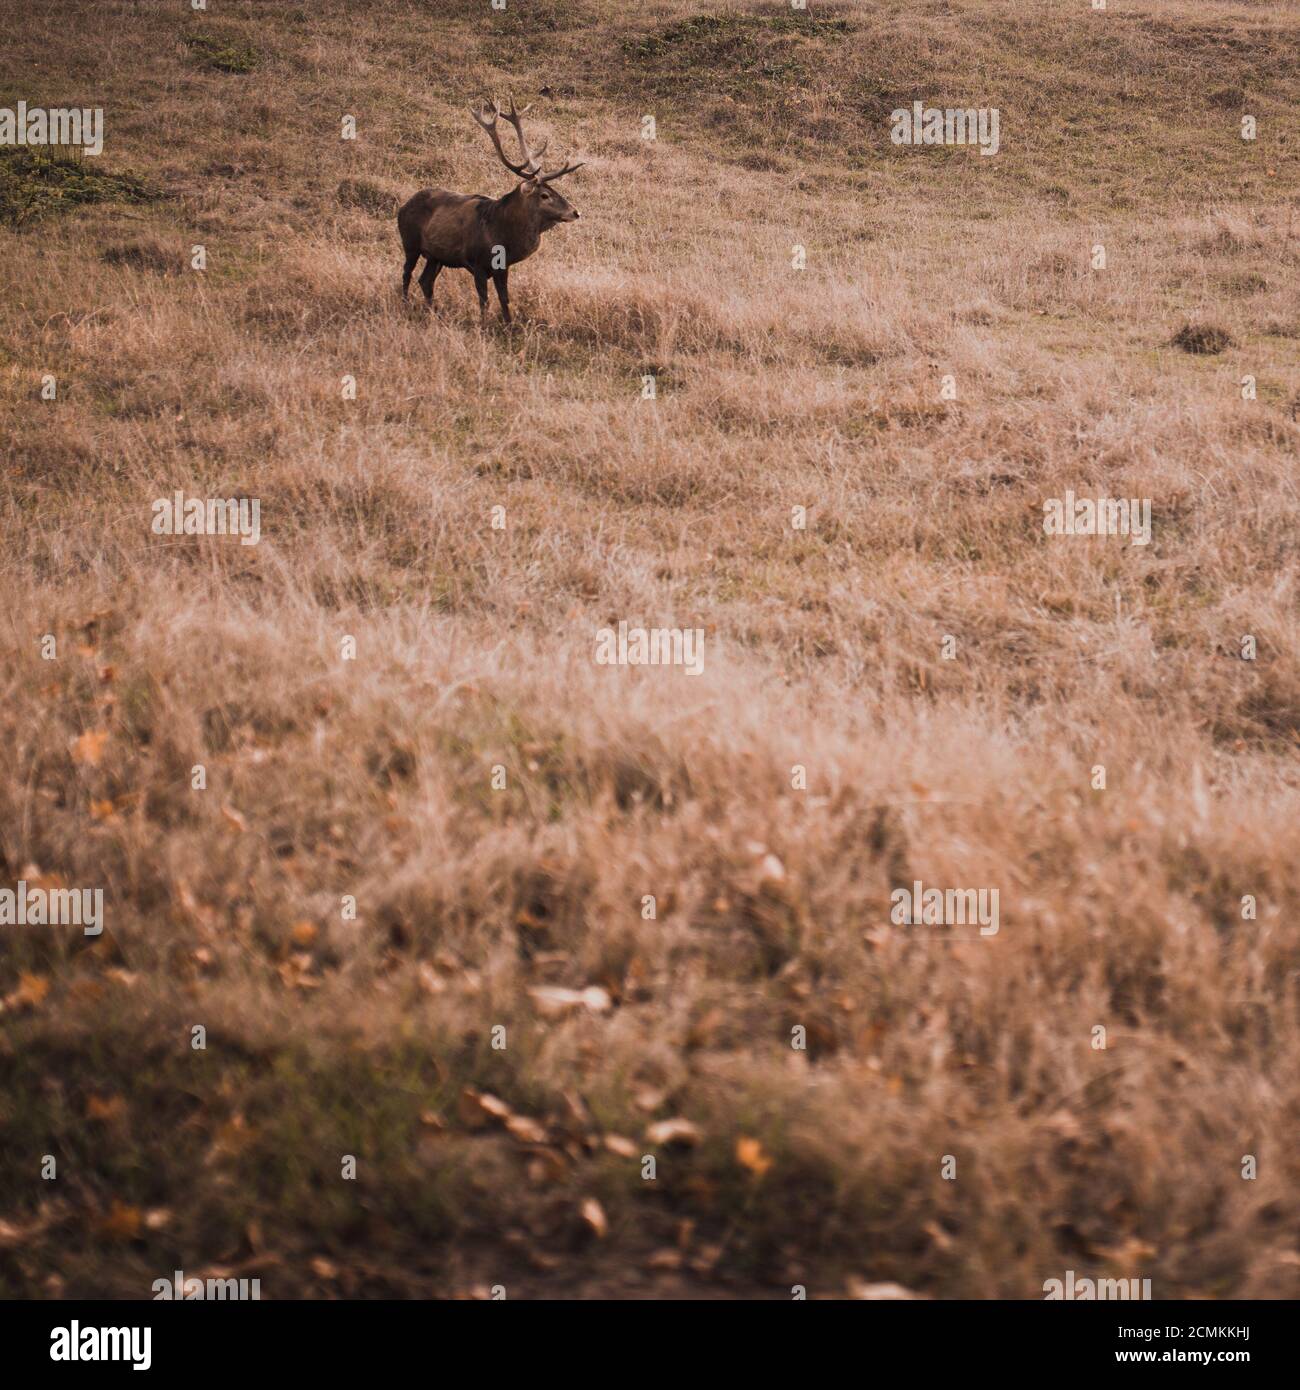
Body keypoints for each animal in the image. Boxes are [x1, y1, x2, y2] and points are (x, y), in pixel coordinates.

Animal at [398, 96, 584, 326]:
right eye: (544, 195)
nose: (575, 212)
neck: (501, 235)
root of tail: (403, 206)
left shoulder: (503, 266)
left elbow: (504, 298)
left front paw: (509, 325)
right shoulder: (476, 262)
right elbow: (484, 299)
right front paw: (484, 325)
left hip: (436, 256)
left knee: (425, 280)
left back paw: (432, 312)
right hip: (410, 242)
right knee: (406, 274)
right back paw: (405, 304)